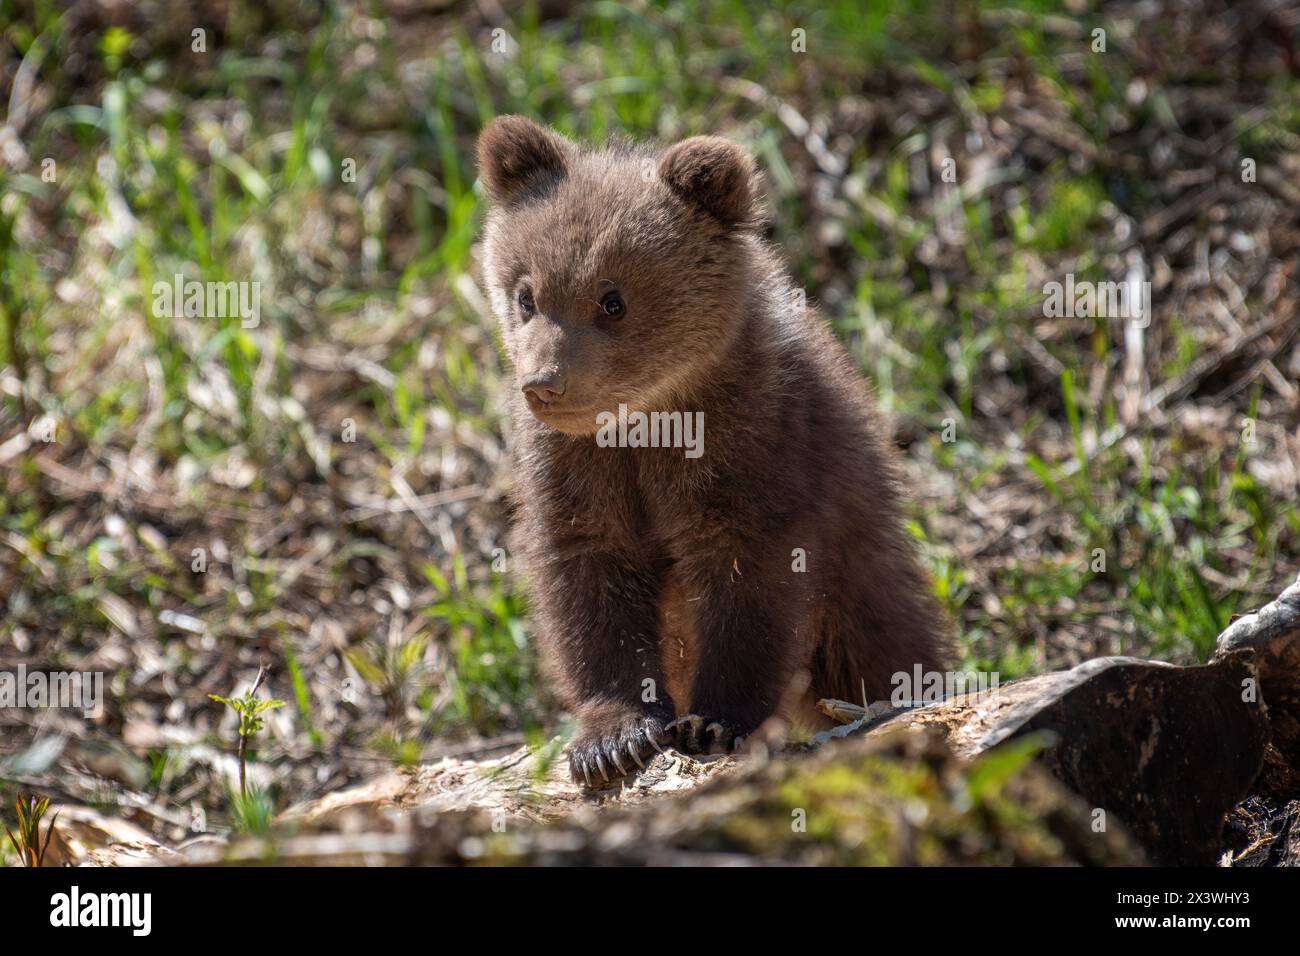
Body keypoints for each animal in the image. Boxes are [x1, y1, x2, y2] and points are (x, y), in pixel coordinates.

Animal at [476, 115, 952, 787]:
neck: (647, 422)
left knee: (879, 642)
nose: (545, 383)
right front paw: (611, 740)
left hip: (859, 558)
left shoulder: (753, 447)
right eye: (527, 295)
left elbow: (750, 577)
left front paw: (715, 722)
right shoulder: (577, 469)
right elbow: (588, 577)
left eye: (612, 300)